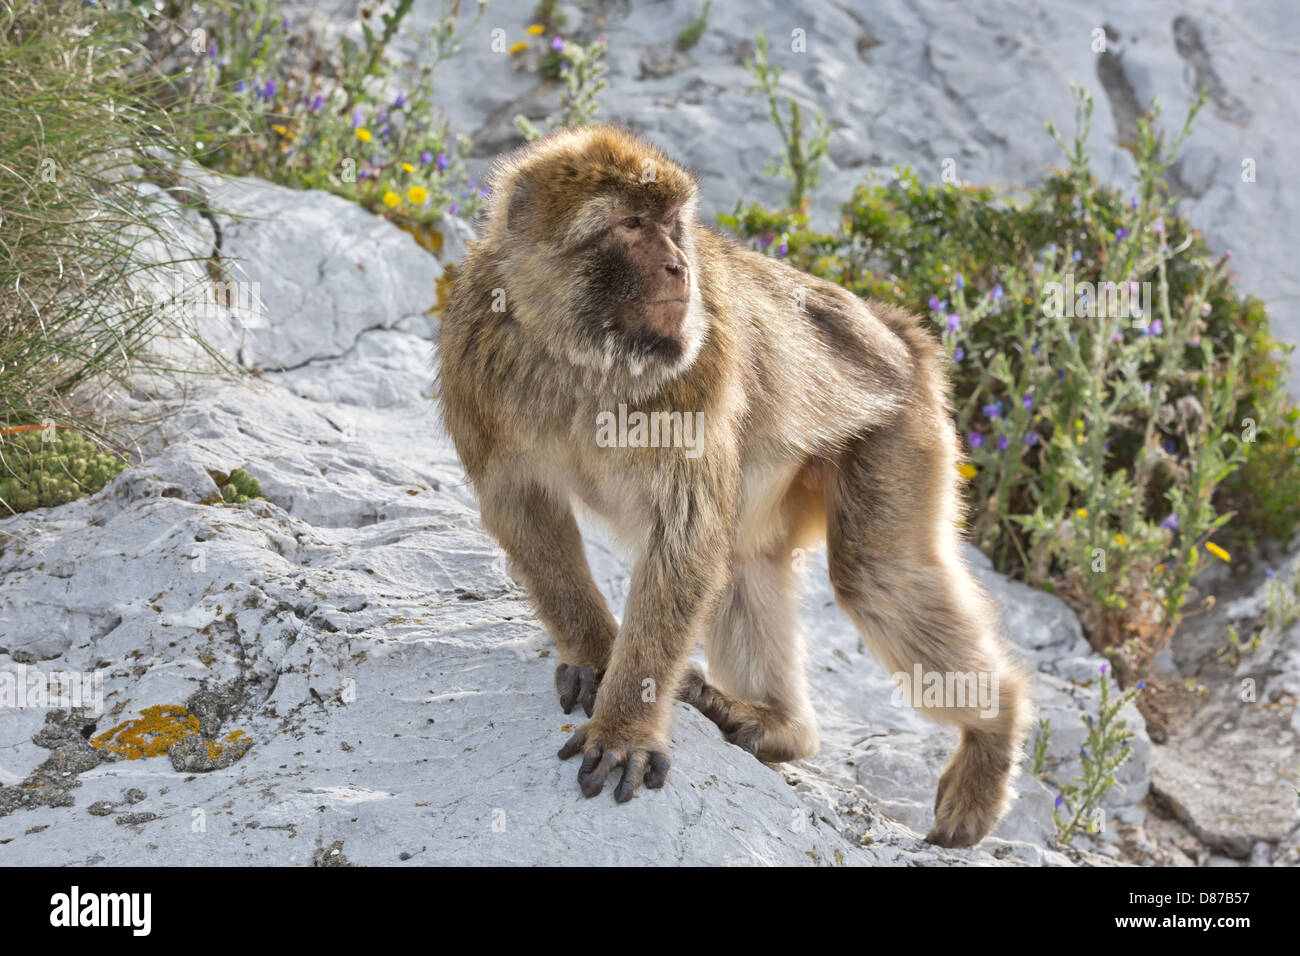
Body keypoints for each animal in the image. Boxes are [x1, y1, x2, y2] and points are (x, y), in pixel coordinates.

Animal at [435, 125, 1031, 847]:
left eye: (671, 224)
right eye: (631, 225)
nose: (678, 268)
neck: (580, 351)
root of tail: (894, 328)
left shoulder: (697, 367)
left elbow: (684, 538)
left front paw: (625, 725)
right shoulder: (474, 353)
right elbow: (522, 508)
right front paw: (594, 650)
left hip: (898, 432)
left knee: (876, 574)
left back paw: (993, 732)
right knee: (745, 563)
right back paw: (778, 726)